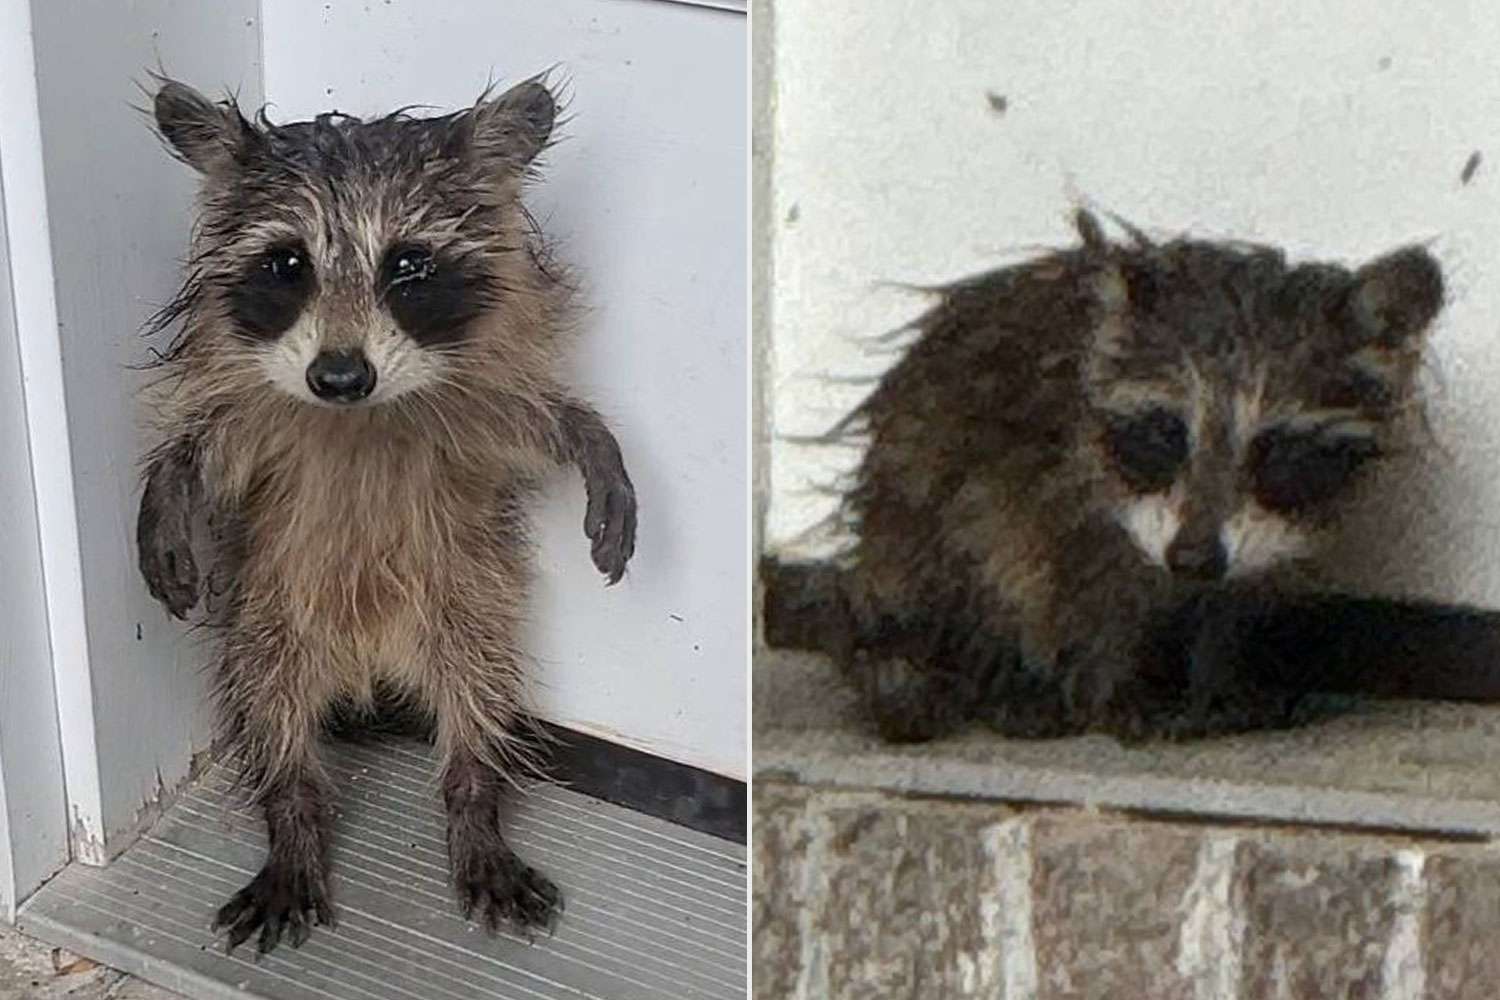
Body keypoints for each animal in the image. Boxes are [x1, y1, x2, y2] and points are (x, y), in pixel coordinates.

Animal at [136, 76, 637, 954]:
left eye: (407, 264)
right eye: (287, 264)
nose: (339, 377)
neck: (359, 417)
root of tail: (369, 667)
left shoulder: (474, 412)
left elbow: (538, 422)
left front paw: (592, 439)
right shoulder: (258, 420)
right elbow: (204, 451)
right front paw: (166, 486)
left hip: (465, 597)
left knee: (480, 693)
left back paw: (474, 800)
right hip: (270, 609)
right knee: (268, 704)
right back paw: (292, 816)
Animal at [824, 210, 1442, 743]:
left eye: (1274, 452)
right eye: (1165, 434)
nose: (1192, 560)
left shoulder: (1264, 537)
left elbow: (1226, 604)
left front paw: (1217, 676)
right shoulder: (1060, 492)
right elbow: (1081, 596)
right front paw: (1113, 687)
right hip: (919, 502)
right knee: (987, 555)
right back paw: (1001, 678)